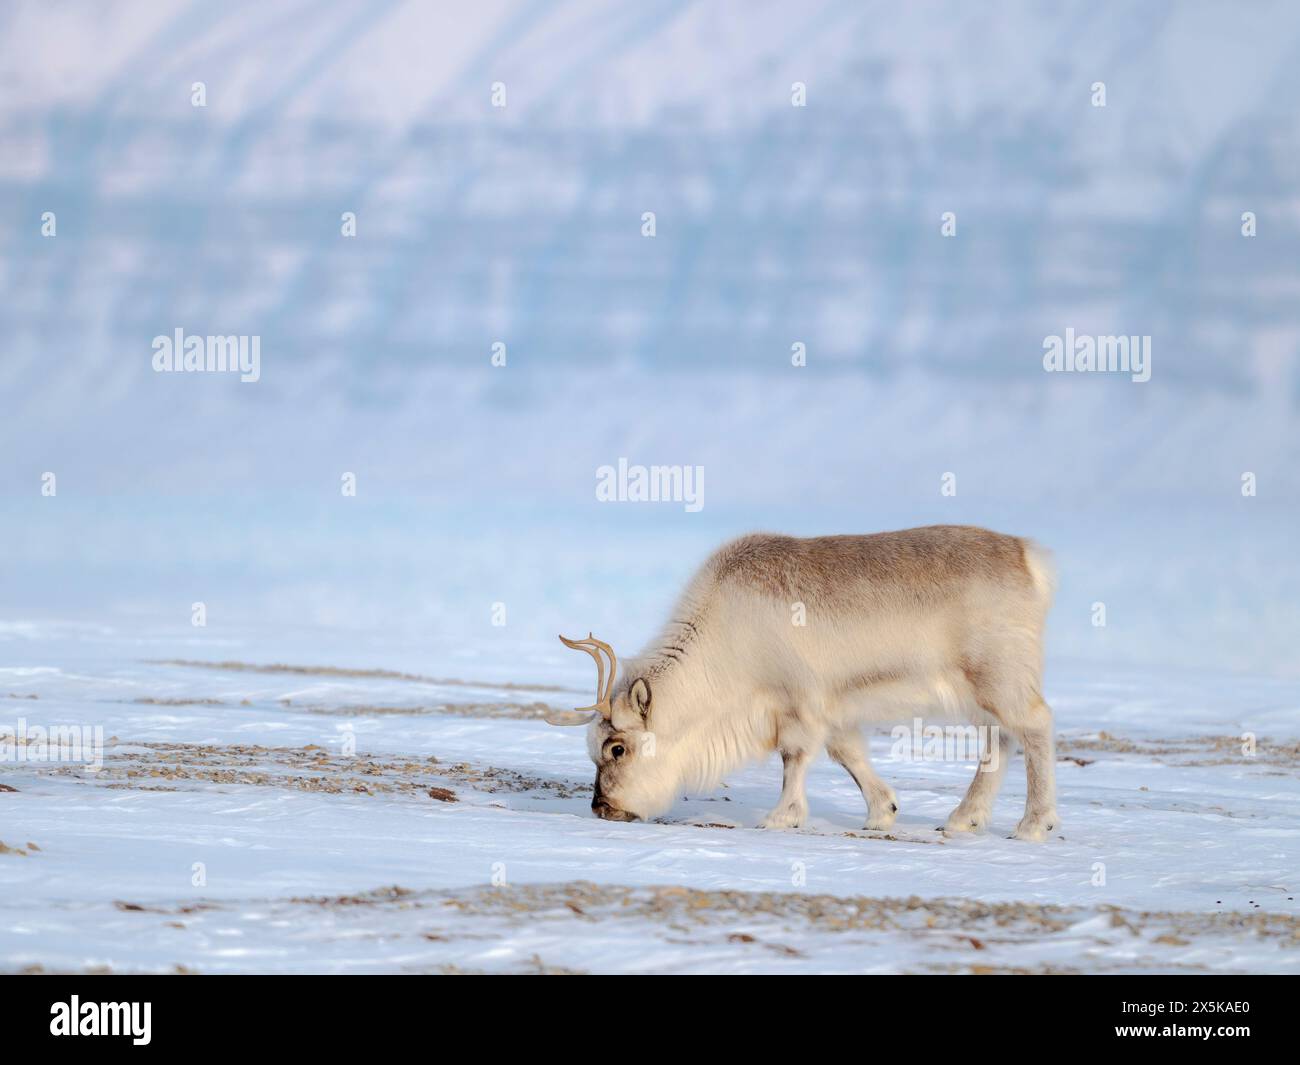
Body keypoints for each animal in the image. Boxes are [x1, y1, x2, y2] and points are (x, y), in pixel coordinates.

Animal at [546, 525, 1059, 841]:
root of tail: (1029, 558)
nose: (602, 808)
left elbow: (795, 757)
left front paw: (780, 817)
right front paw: (882, 812)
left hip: (998, 675)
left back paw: (1034, 824)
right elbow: (847, 753)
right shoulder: (834, 707)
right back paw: (962, 819)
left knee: (1035, 725)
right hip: (979, 691)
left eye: (617, 748)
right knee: (1001, 739)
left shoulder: (797, 702)